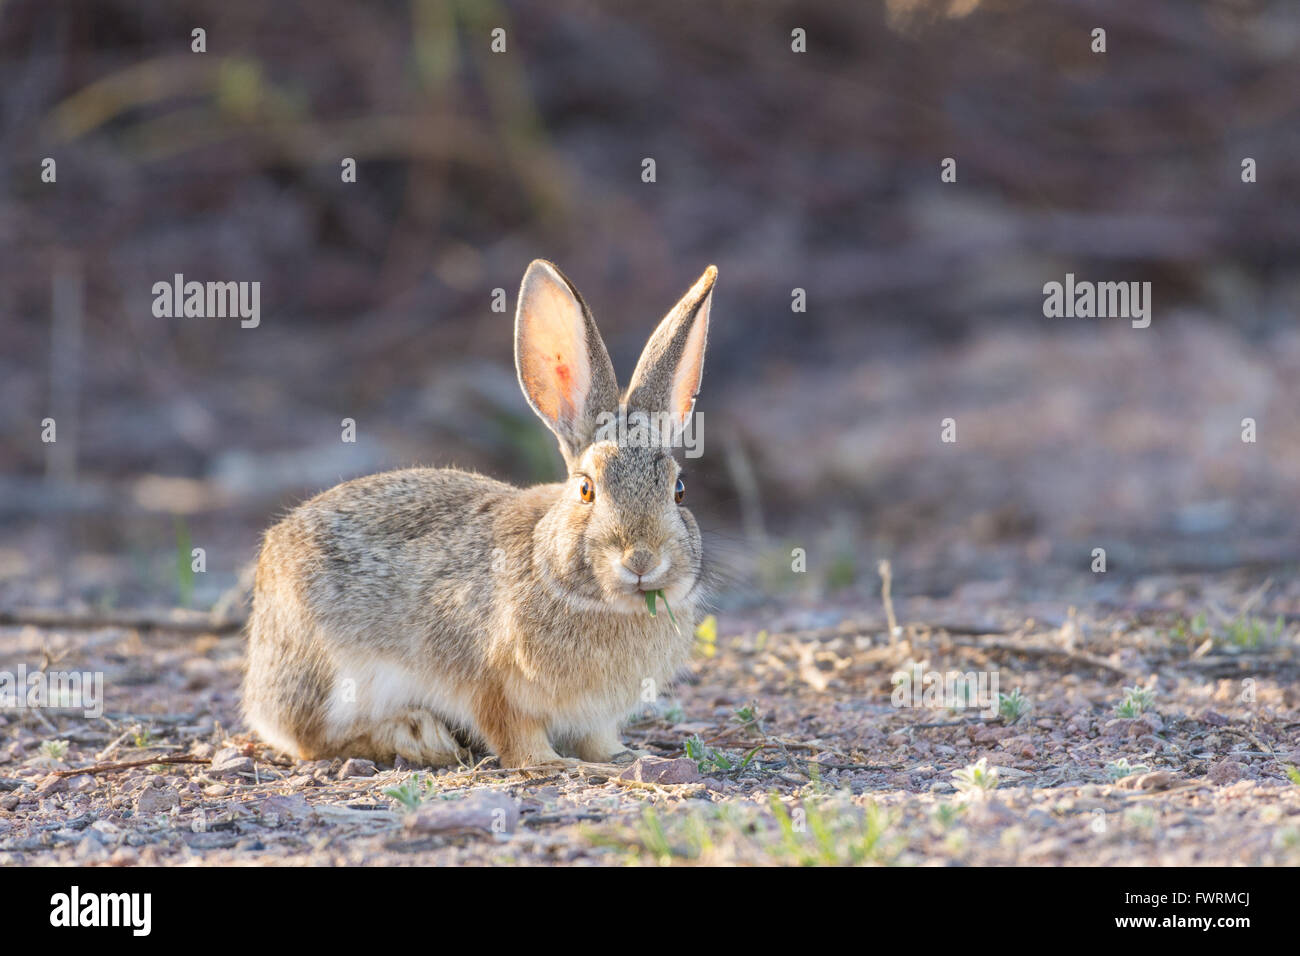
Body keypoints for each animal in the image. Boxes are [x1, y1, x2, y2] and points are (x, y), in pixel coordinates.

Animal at [241, 260, 716, 769]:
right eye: (587, 490)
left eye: (679, 491)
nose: (642, 559)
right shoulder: (494, 685)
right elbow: (514, 735)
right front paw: (551, 763)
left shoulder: (595, 716)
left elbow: (598, 738)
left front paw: (619, 756)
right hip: (329, 675)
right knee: (312, 738)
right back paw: (418, 735)